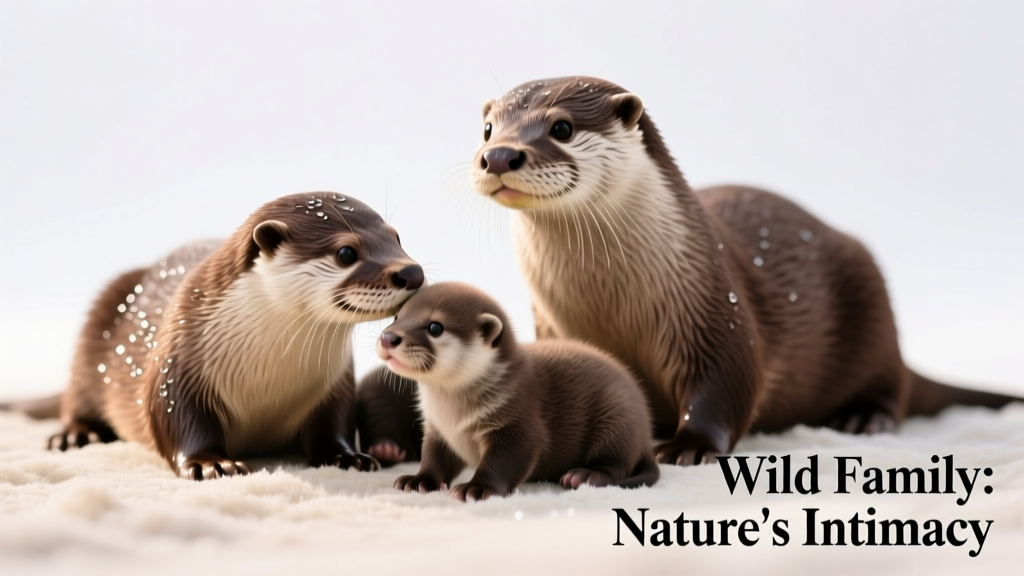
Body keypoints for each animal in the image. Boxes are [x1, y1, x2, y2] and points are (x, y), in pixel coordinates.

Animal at [33, 192, 423, 479]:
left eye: (397, 238)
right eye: (346, 253)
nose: (413, 272)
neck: (269, 377)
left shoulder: (334, 382)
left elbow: (334, 423)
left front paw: (348, 456)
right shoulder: (177, 362)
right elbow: (177, 418)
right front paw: (209, 463)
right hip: (94, 333)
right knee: (78, 395)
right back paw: (76, 433)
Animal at [378, 282, 659, 502]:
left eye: (435, 327)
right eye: (396, 317)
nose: (388, 337)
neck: (452, 415)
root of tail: (645, 434)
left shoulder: (516, 421)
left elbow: (505, 460)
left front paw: (477, 488)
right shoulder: (437, 428)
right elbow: (433, 456)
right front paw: (419, 480)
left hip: (618, 419)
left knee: (618, 464)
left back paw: (585, 475)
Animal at [468, 76, 1021, 466]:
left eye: (561, 127)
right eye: (488, 129)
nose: (499, 155)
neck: (609, 306)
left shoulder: (715, 305)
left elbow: (727, 381)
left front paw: (688, 445)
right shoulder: (551, 322)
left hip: (873, 300)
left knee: (893, 387)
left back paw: (863, 418)